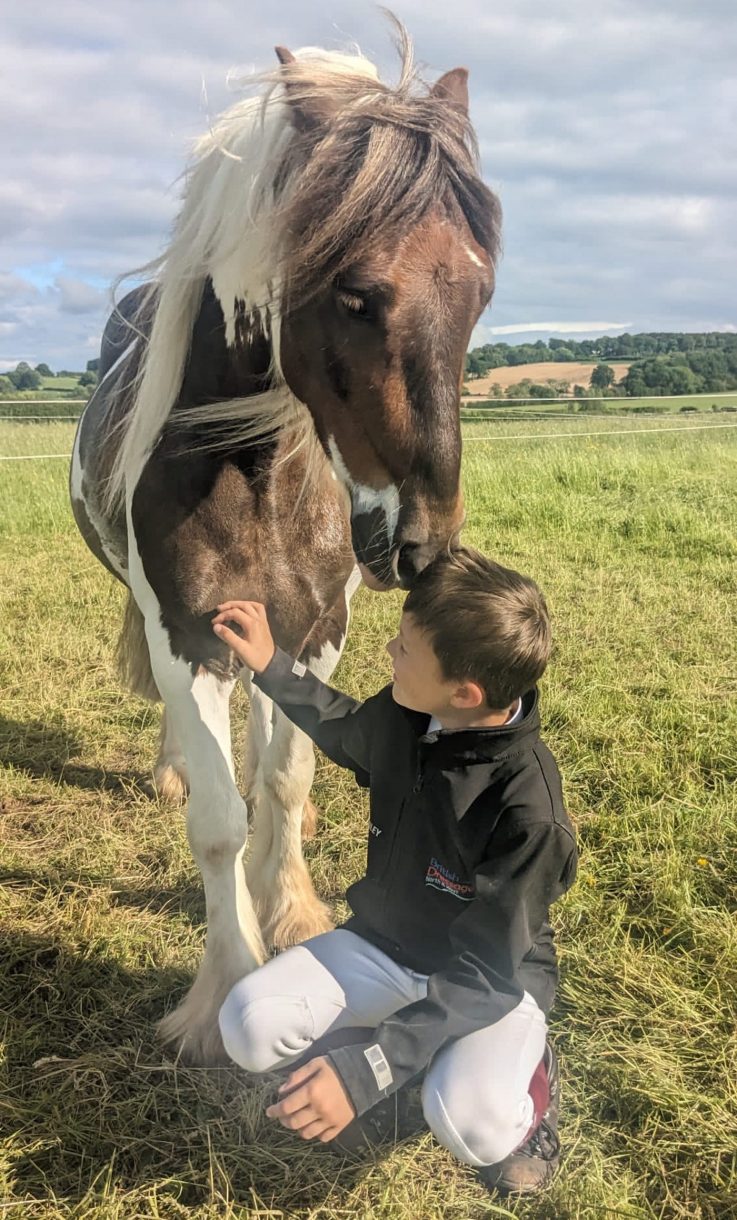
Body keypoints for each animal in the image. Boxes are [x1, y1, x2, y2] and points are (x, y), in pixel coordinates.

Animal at [69, 27, 502, 1062]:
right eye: (353, 294)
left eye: (478, 290)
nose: (420, 545)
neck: (254, 468)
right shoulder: (189, 635)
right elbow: (220, 820)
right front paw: (224, 982)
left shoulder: (311, 633)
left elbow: (287, 772)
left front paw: (292, 911)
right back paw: (172, 769)